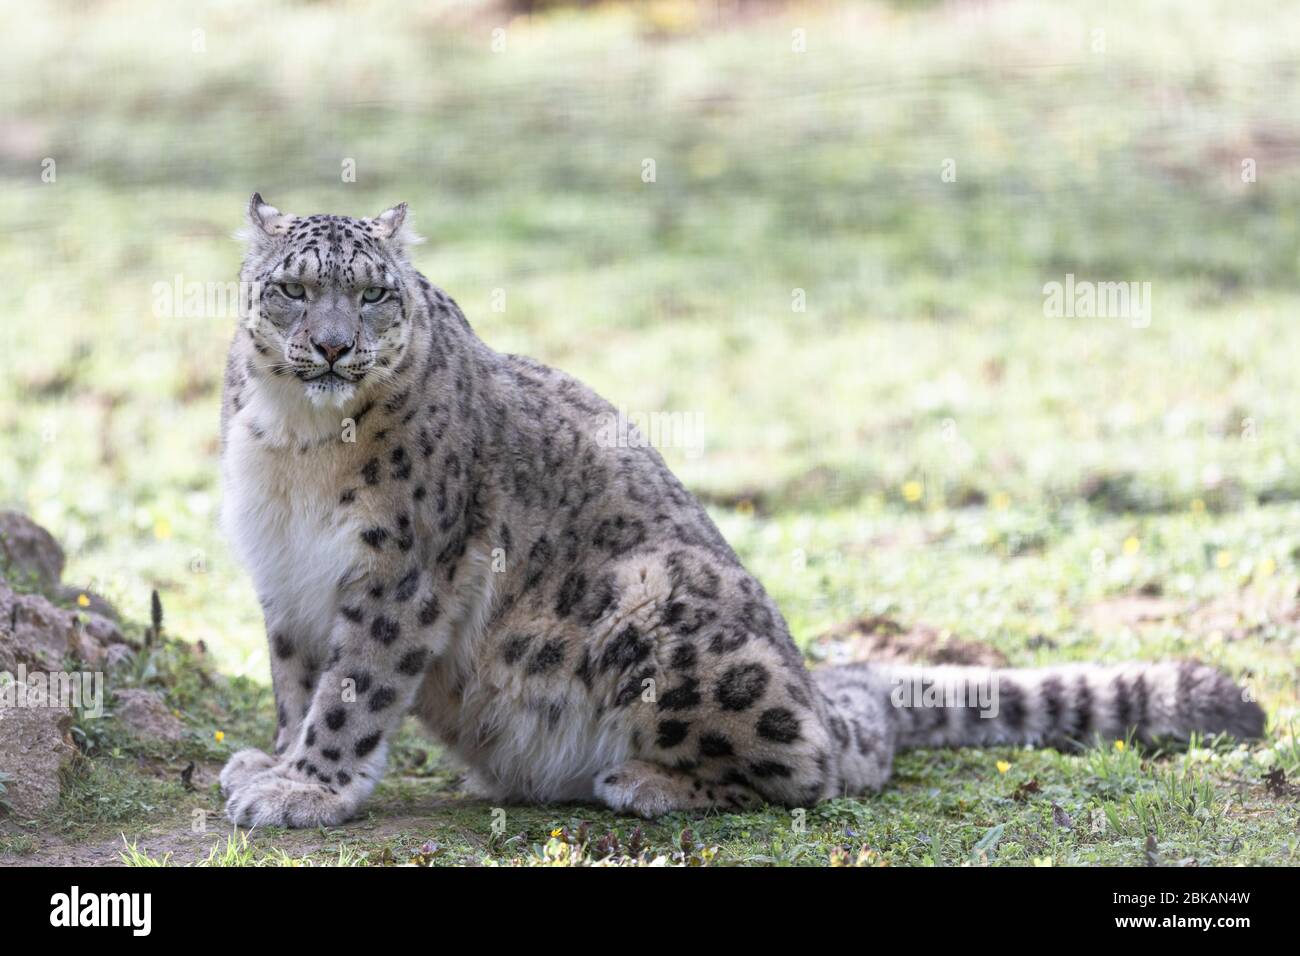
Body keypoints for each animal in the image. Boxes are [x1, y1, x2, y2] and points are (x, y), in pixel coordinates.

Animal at [217, 194, 1266, 827]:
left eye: (373, 295)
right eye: (295, 287)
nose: (332, 347)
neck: (298, 454)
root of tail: (814, 681)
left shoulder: (401, 571)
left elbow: (353, 689)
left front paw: (304, 788)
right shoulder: (284, 576)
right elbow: (297, 680)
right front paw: (272, 762)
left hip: (656, 614)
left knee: (812, 768)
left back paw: (642, 780)